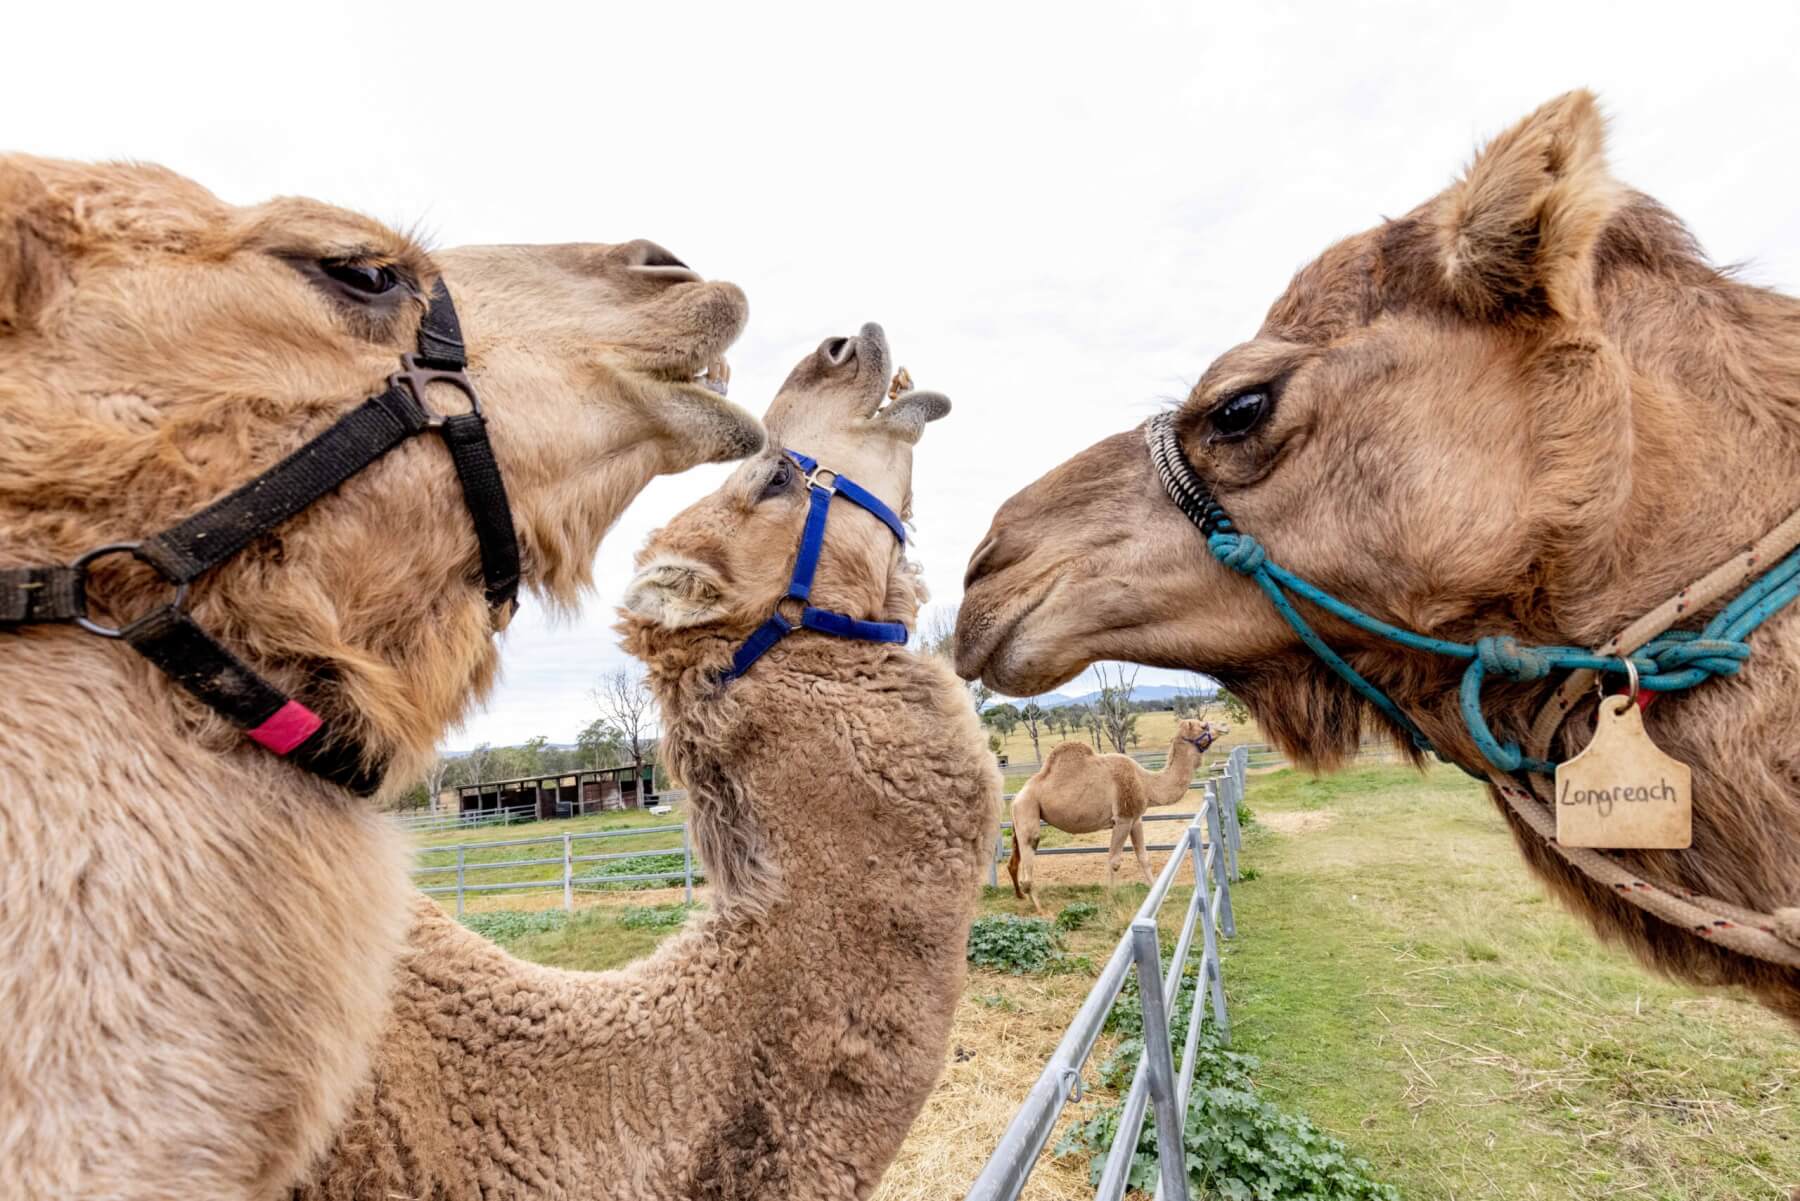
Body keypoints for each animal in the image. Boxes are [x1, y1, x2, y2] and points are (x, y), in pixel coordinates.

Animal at [1007, 718, 1218, 909]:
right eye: (1203, 725)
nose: (1221, 728)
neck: (1145, 783)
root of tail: (1016, 797)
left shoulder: (1136, 819)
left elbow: (1144, 857)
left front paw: (1161, 897)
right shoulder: (1122, 819)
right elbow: (1114, 861)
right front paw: (1111, 898)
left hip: (1021, 817)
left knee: (1016, 861)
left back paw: (1025, 897)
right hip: (1027, 809)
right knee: (1030, 852)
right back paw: (1040, 908)